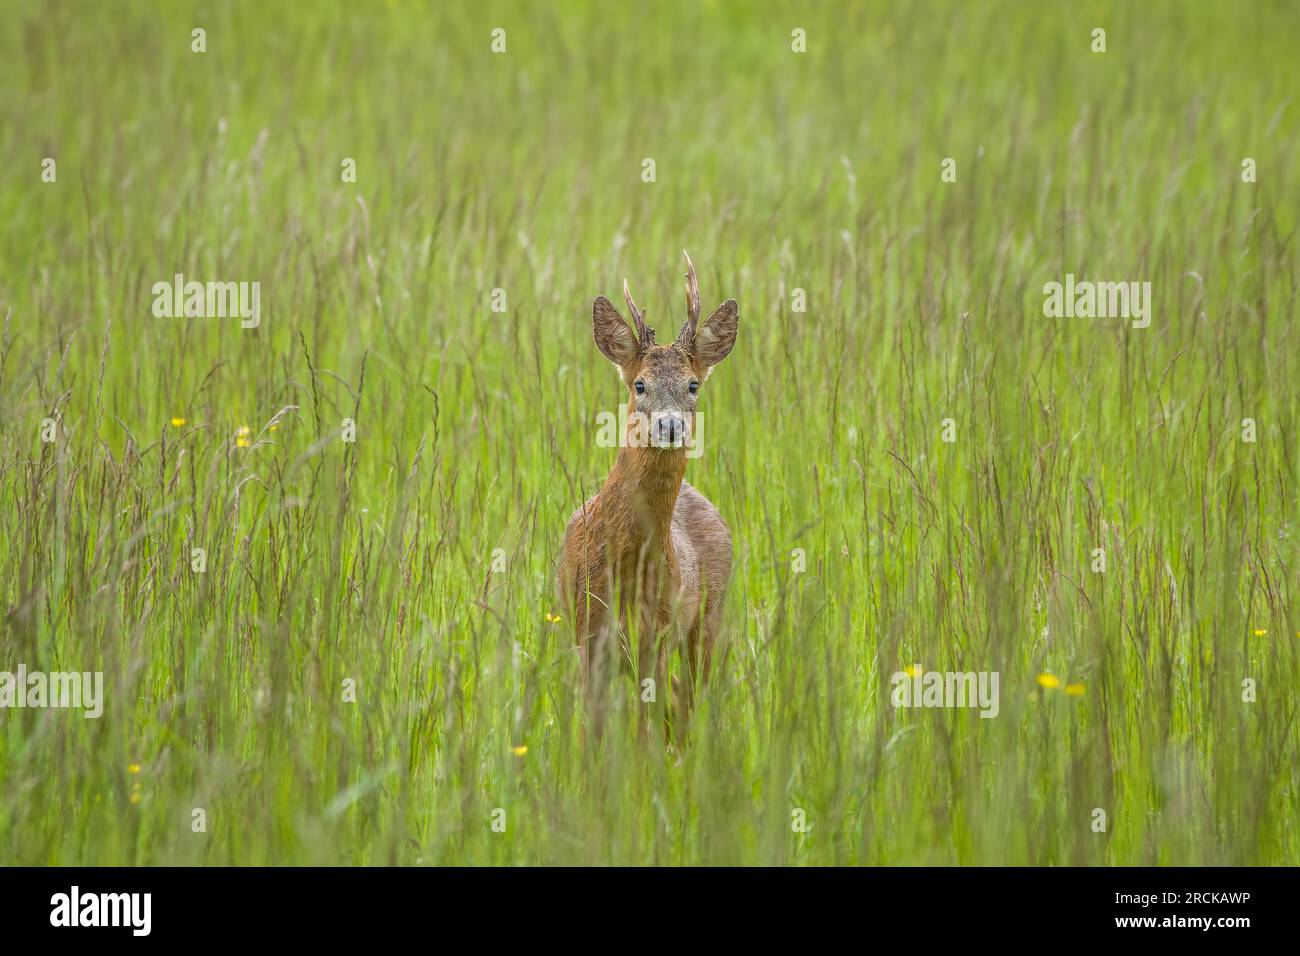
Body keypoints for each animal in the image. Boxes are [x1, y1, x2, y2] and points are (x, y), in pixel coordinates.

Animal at [559, 252, 739, 732]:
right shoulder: (586, 635)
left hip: (709, 616)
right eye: (640, 384)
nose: (670, 425)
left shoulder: (655, 635)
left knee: (691, 701)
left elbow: (645, 734)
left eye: (692, 385)